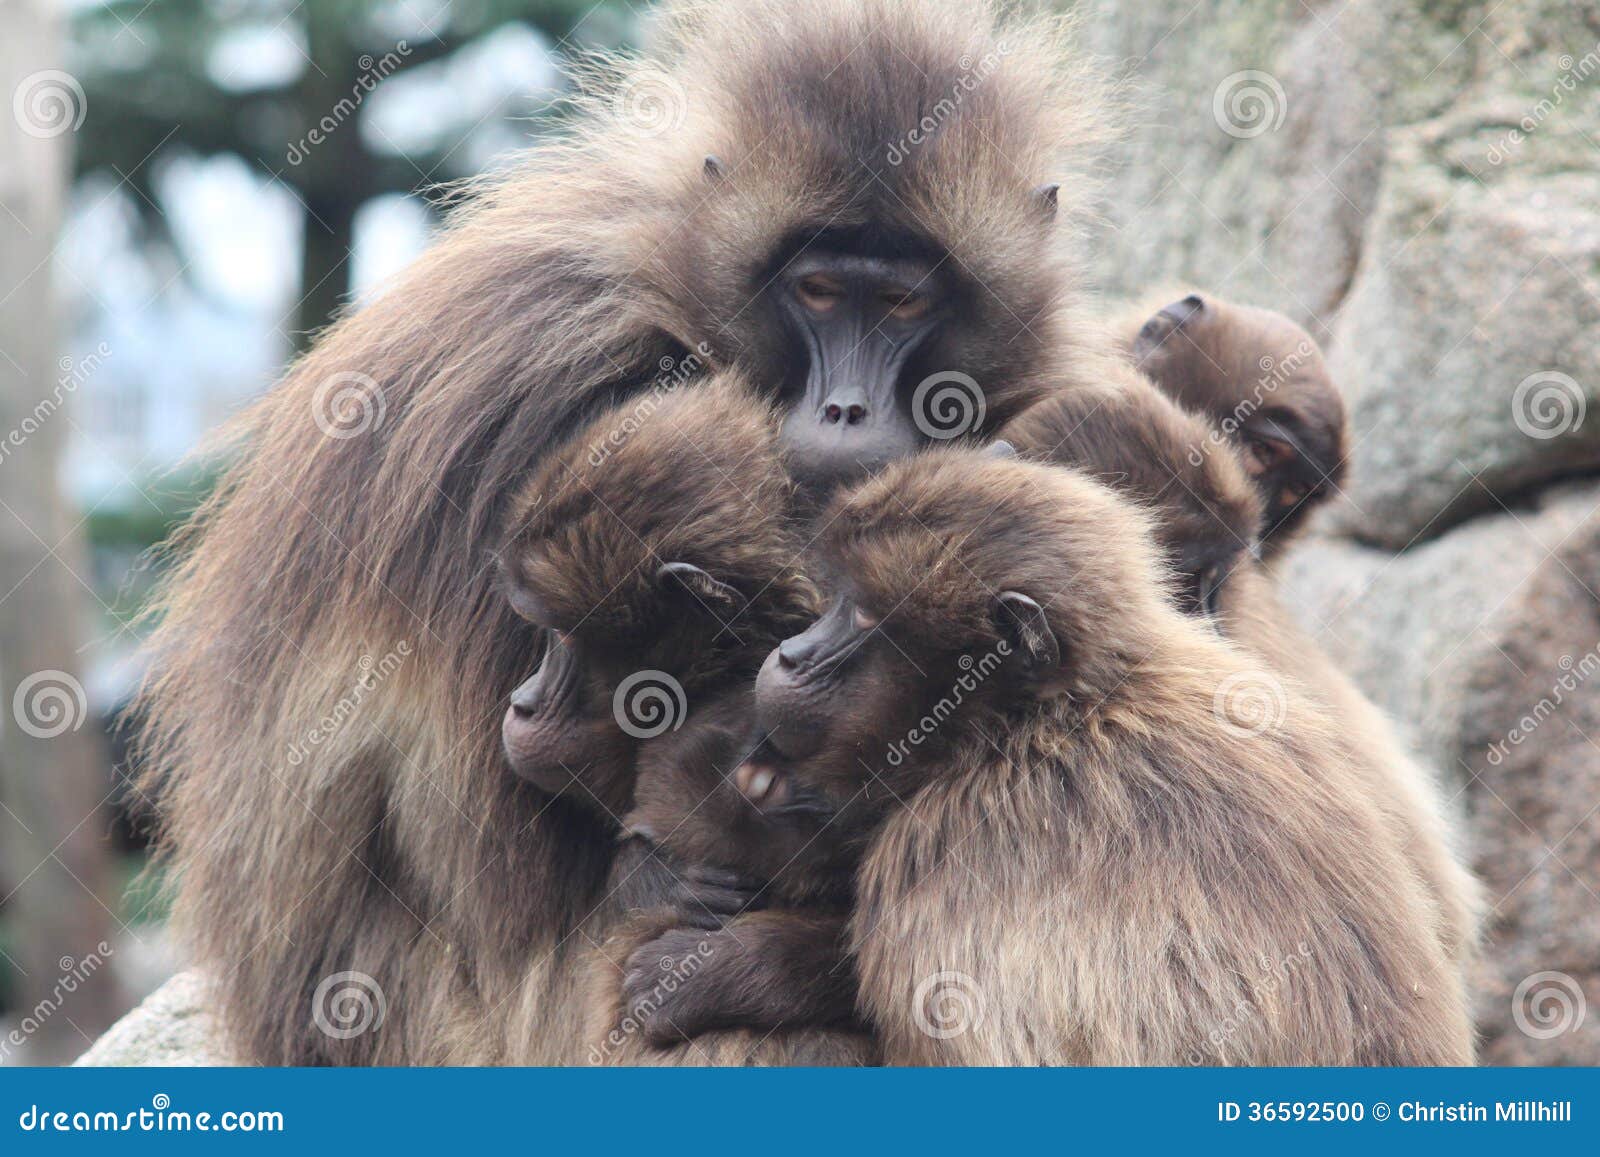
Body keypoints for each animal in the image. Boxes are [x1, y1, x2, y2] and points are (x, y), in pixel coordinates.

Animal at [133, 0, 1127, 1064]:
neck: (682, 316)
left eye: (904, 301)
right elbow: (516, 871)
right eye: (817, 291)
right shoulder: (528, 393)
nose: (848, 411)